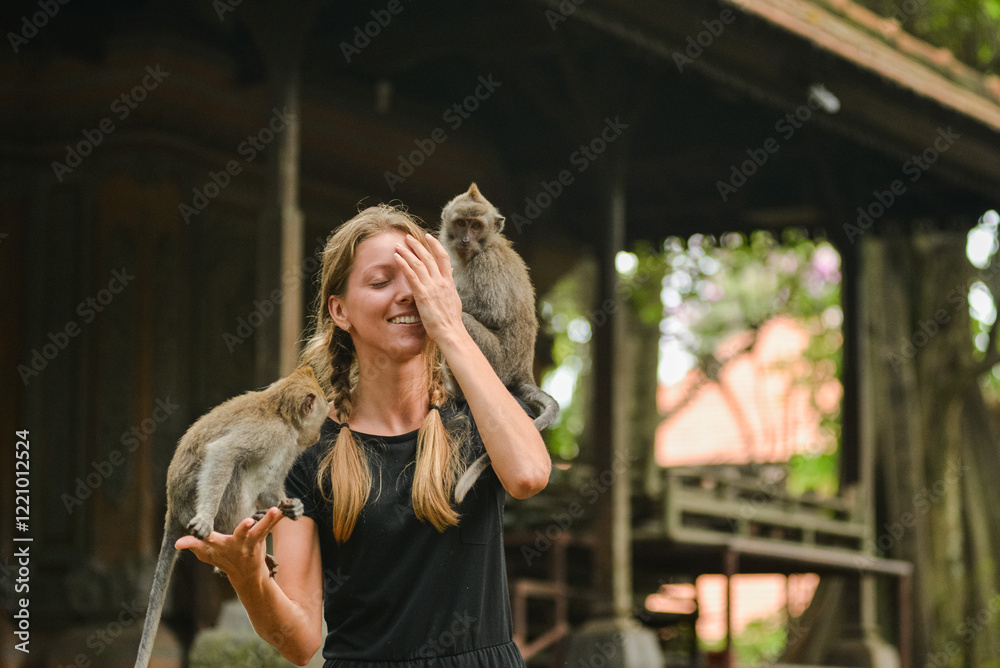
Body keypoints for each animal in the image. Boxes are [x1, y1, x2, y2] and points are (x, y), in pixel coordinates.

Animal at [134, 364, 329, 668]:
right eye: (321, 419)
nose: (318, 437)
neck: (280, 413)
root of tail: (173, 508)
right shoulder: (272, 434)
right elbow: (224, 453)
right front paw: (205, 518)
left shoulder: (287, 446)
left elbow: (269, 486)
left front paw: (291, 507)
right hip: (200, 505)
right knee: (238, 469)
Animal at [438, 183, 559, 503]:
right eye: (461, 223)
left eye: (476, 226)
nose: (466, 239)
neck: (479, 249)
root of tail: (522, 370)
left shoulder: (486, 263)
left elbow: (492, 310)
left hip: (495, 363)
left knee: (461, 321)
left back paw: (458, 392)